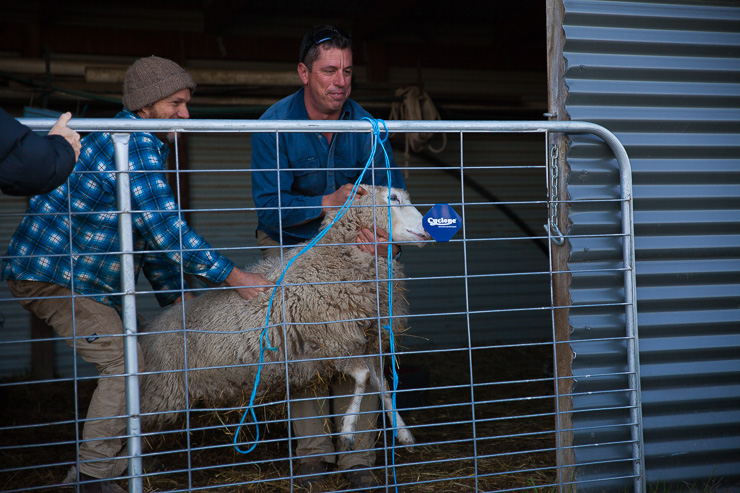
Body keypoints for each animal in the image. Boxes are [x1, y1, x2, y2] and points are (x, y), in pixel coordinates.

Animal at [138, 185, 432, 450]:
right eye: (393, 198)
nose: (428, 231)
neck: (335, 260)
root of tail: (147, 331)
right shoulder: (331, 342)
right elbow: (363, 379)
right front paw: (348, 430)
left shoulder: (367, 340)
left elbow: (383, 386)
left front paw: (403, 434)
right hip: (161, 393)